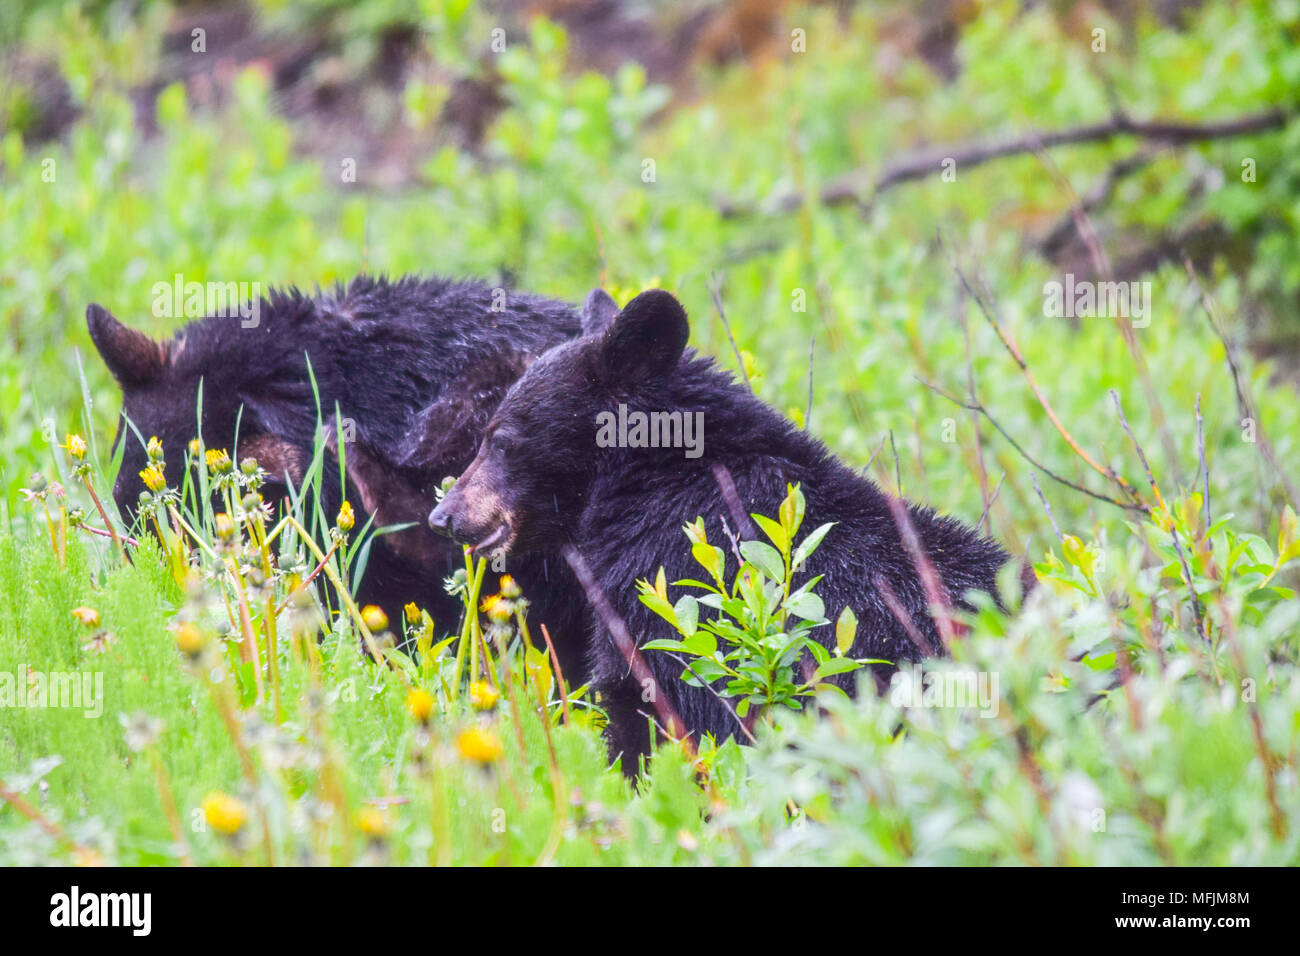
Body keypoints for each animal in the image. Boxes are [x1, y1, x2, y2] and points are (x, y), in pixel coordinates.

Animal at [428, 287, 1015, 770]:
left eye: (501, 438)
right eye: (487, 433)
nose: (444, 515)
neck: (648, 487)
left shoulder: (681, 613)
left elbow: (661, 717)